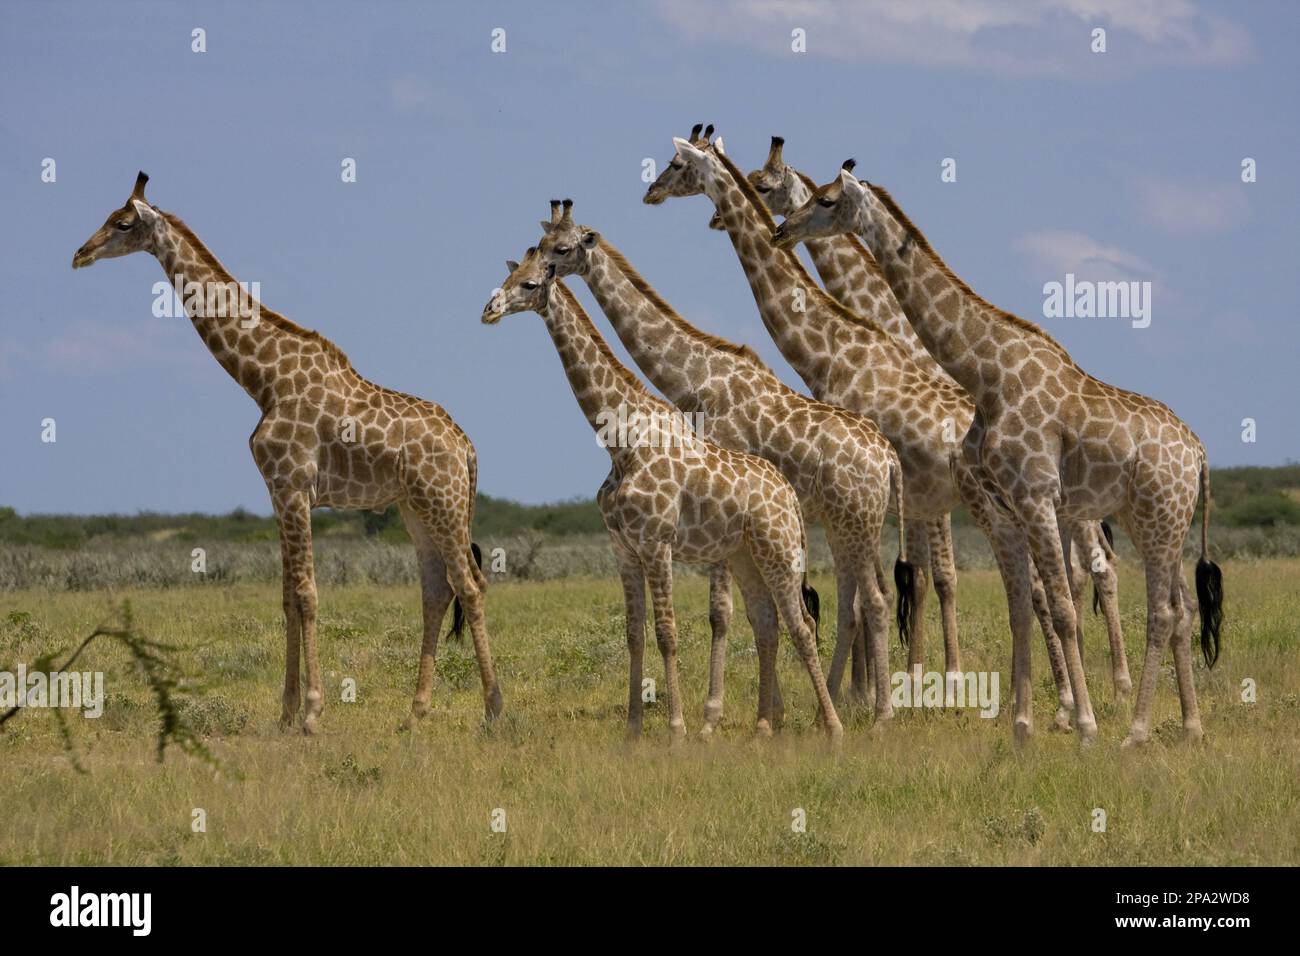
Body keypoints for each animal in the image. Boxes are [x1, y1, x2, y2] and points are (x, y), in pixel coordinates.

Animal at [72, 172, 502, 733]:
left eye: (122, 222)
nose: (80, 253)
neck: (263, 380)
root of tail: (466, 446)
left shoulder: (295, 486)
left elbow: (306, 593)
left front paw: (313, 712)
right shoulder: (276, 490)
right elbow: (285, 597)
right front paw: (286, 713)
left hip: (443, 501)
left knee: (469, 585)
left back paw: (494, 709)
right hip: (415, 507)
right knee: (436, 589)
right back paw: (415, 715)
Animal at [482, 249, 842, 743]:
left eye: (530, 284)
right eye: (509, 276)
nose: (489, 309)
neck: (621, 443)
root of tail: (787, 493)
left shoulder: (656, 543)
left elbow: (666, 633)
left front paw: (676, 730)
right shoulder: (623, 549)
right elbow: (634, 634)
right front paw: (633, 731)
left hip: (779, 549)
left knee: (802, 624)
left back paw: (832, 727)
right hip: (744, 556)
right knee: (768, 624)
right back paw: (762, 730)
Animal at [534, 198, 915, 722]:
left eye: (562, 248)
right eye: (540, 243)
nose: (536, 273)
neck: (694, 375)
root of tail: (888, 455)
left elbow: (722, 611)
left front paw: (716, 714)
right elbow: (752, 613)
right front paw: (766, 711)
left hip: (854, 522)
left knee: (875, 601)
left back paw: (878, 713)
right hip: (850, 524)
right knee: (862, 601)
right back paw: (846, 704)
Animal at [739, 136, 1131, 698]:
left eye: (768, 184)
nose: (780, 229)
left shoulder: (929, 490)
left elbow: (931, 578)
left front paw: (929, 681)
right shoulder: (919, 494)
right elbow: (915, 577)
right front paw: (900, 681)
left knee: (1092, 568)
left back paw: (1110, 683)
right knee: (1084, 569)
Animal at [774, 160, 1224, 745]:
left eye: (826, 200)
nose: (782, 231)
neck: (986, 374)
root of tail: (1198, 451)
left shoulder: (1036, 498)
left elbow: (1062, 610)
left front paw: (1083, 726)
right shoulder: (1007, 508)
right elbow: (1021, 610)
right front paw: (1022, 727)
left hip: (1159, 517)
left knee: (1164, 611)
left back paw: (1137, 731)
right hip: (1153, 517)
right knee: (1185, 606)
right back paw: (1190, 728)